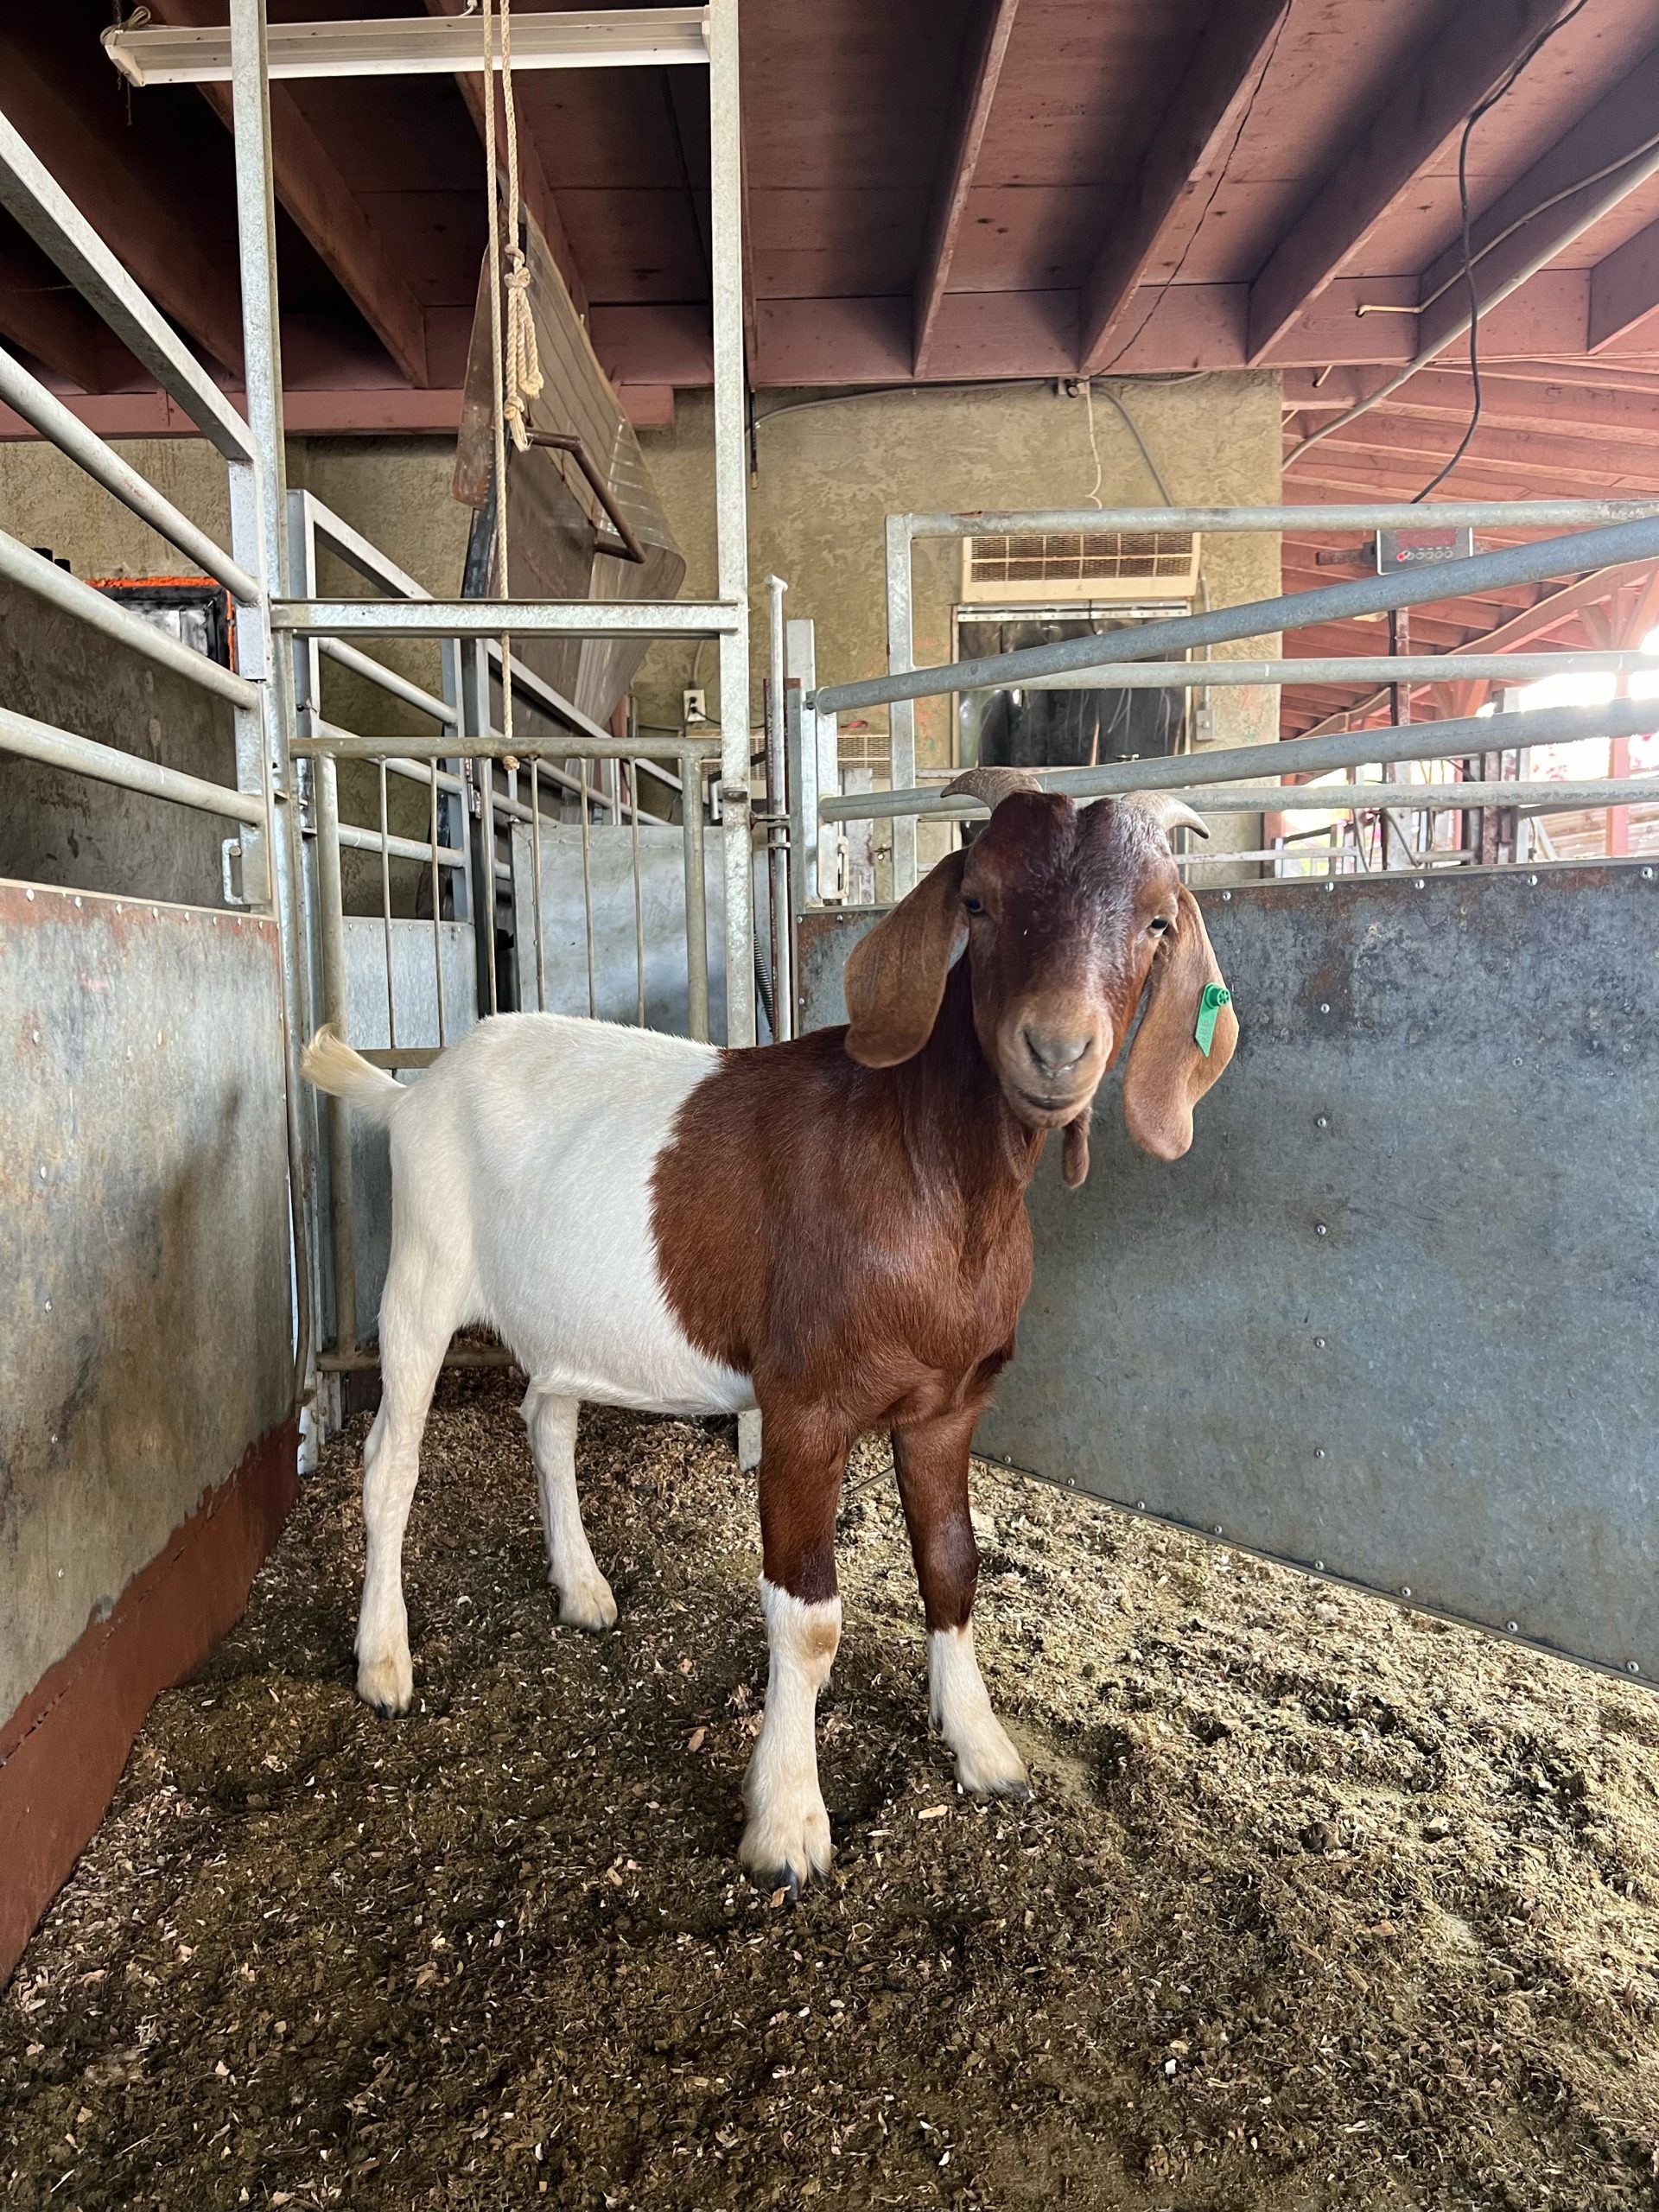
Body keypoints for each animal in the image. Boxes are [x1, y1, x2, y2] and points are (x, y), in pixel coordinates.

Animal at [302, 770, 1238, 1895]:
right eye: (978, 899)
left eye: (1157, 919)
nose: (1056, 1049)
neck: (932, 1175)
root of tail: (411, 1089)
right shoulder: (805, 1405)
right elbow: (810, 1616)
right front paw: (788, 1823)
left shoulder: (951, 1405)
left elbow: (953, 1565)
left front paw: (983, 1748)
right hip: (422, 1274)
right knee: (390, 1461)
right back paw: (385, 1660)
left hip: (561, 1307)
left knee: (547, 1417)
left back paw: (584, 1589)